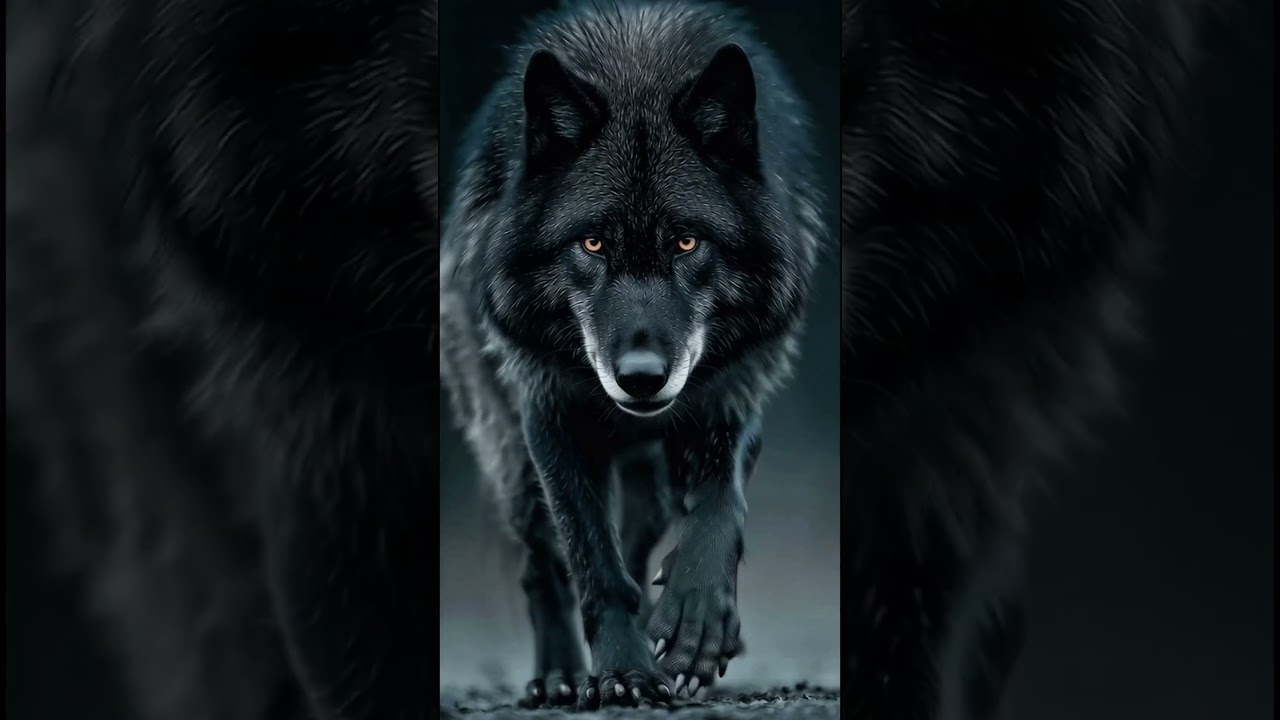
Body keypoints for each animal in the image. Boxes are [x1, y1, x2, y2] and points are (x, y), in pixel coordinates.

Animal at [440, 0, 824, 709]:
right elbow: (593, 562)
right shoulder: (550, 416)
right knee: (544, 564)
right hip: (508, 455)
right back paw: (561, 677)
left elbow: (721, 503)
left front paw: (698, 620)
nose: (641, 379)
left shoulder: (735, 390)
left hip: (649, 483)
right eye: (592, 244)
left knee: (641, 544)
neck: (637, 72)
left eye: (686, 242)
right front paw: (622, 671)